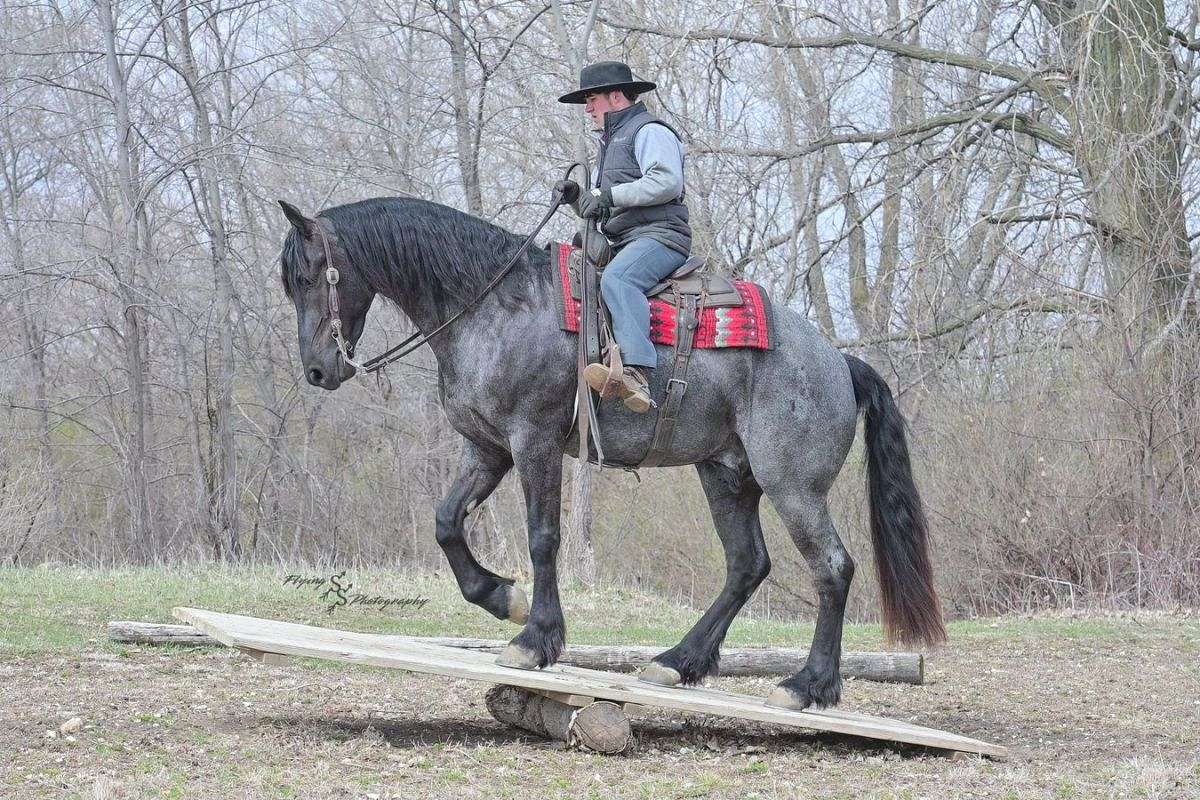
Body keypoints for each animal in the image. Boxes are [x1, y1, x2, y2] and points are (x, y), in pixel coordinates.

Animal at [277, 195, 946, 710]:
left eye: (310, 277)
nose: (318, 370)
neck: (497, 306)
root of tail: (839, 362)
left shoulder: (533, 442)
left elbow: (543, 536)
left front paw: (536, 640)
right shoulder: (487, 449)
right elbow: (446, 523)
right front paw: (500, 597)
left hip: (792, 485)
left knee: (832, 567)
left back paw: (807, 685)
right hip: (726, 475)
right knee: (747, 565)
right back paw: (678, 660)